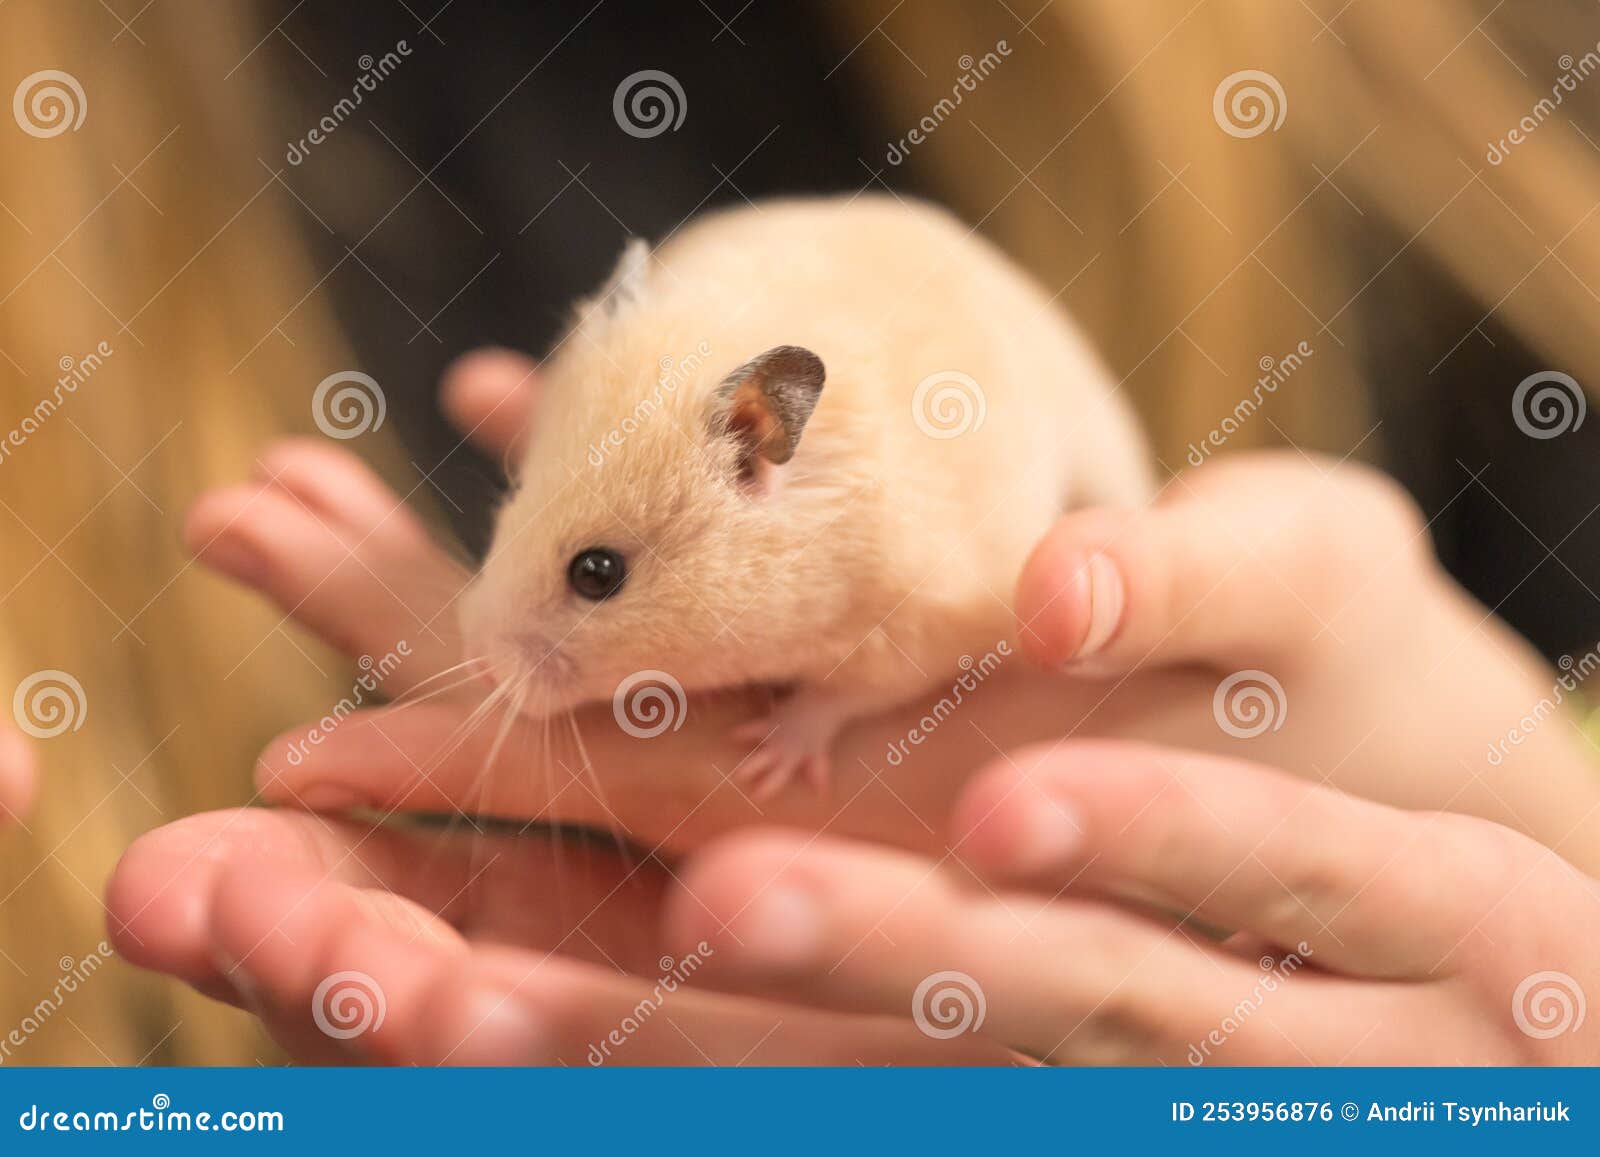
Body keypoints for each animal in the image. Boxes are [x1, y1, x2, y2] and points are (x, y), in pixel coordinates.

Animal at [459, 195, 1153, 797]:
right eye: (514, 492)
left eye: (597, 573)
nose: (483, 664)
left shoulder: (931, 628)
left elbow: (850, 695)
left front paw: (769, 758)